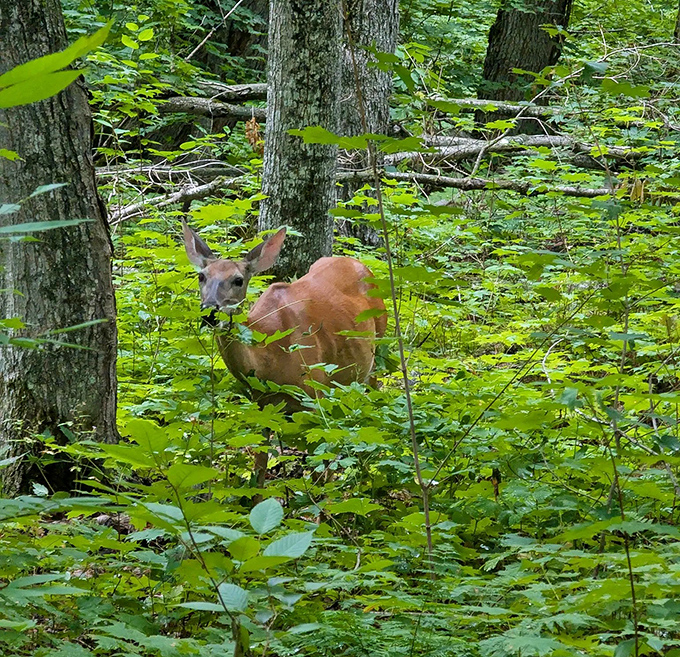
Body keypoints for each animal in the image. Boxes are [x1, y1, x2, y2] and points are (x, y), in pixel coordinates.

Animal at [181, 220, 387, 486]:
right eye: (201, 276)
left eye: (238, 280)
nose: (210, 312)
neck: (269, 362)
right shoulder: (261, 406)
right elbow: (259, 470)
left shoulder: (313, 394)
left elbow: (320, 468)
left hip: (378, 345)